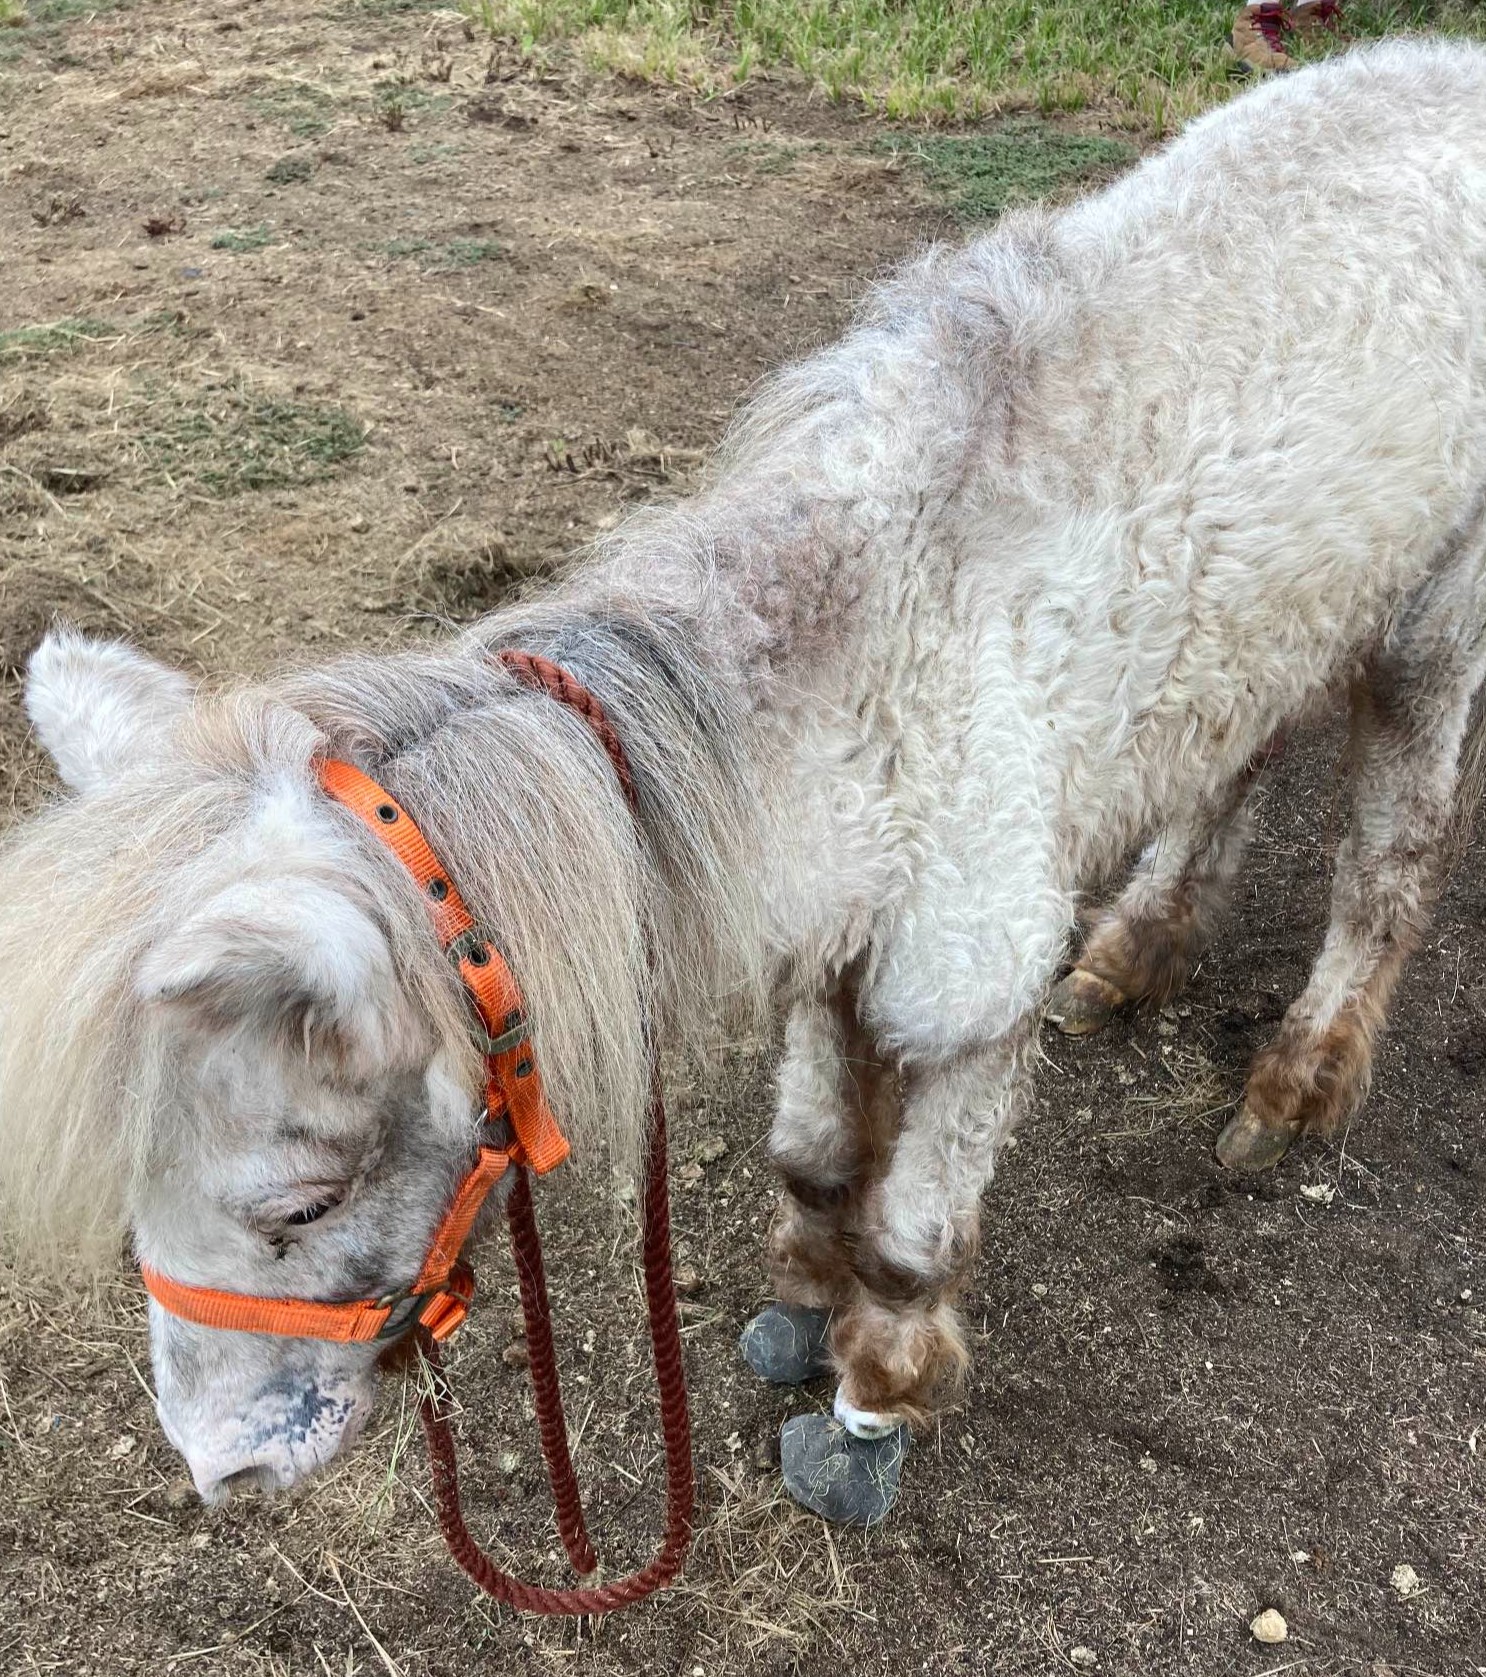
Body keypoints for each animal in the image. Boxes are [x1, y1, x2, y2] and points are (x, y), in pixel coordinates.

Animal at [4, 38, 1486, 1530]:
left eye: (299, 1206)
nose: (225, 1468)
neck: (878, 654)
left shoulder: (967, 981)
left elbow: (909, 1235)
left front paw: (870, 1403)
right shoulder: (835, 942)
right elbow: (816, 1155)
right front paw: (800, 1312)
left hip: (1432, 612)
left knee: (1393, 847)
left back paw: (1294, 1086)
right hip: (1270, 612)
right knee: (1235, 751)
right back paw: (1135, 953)